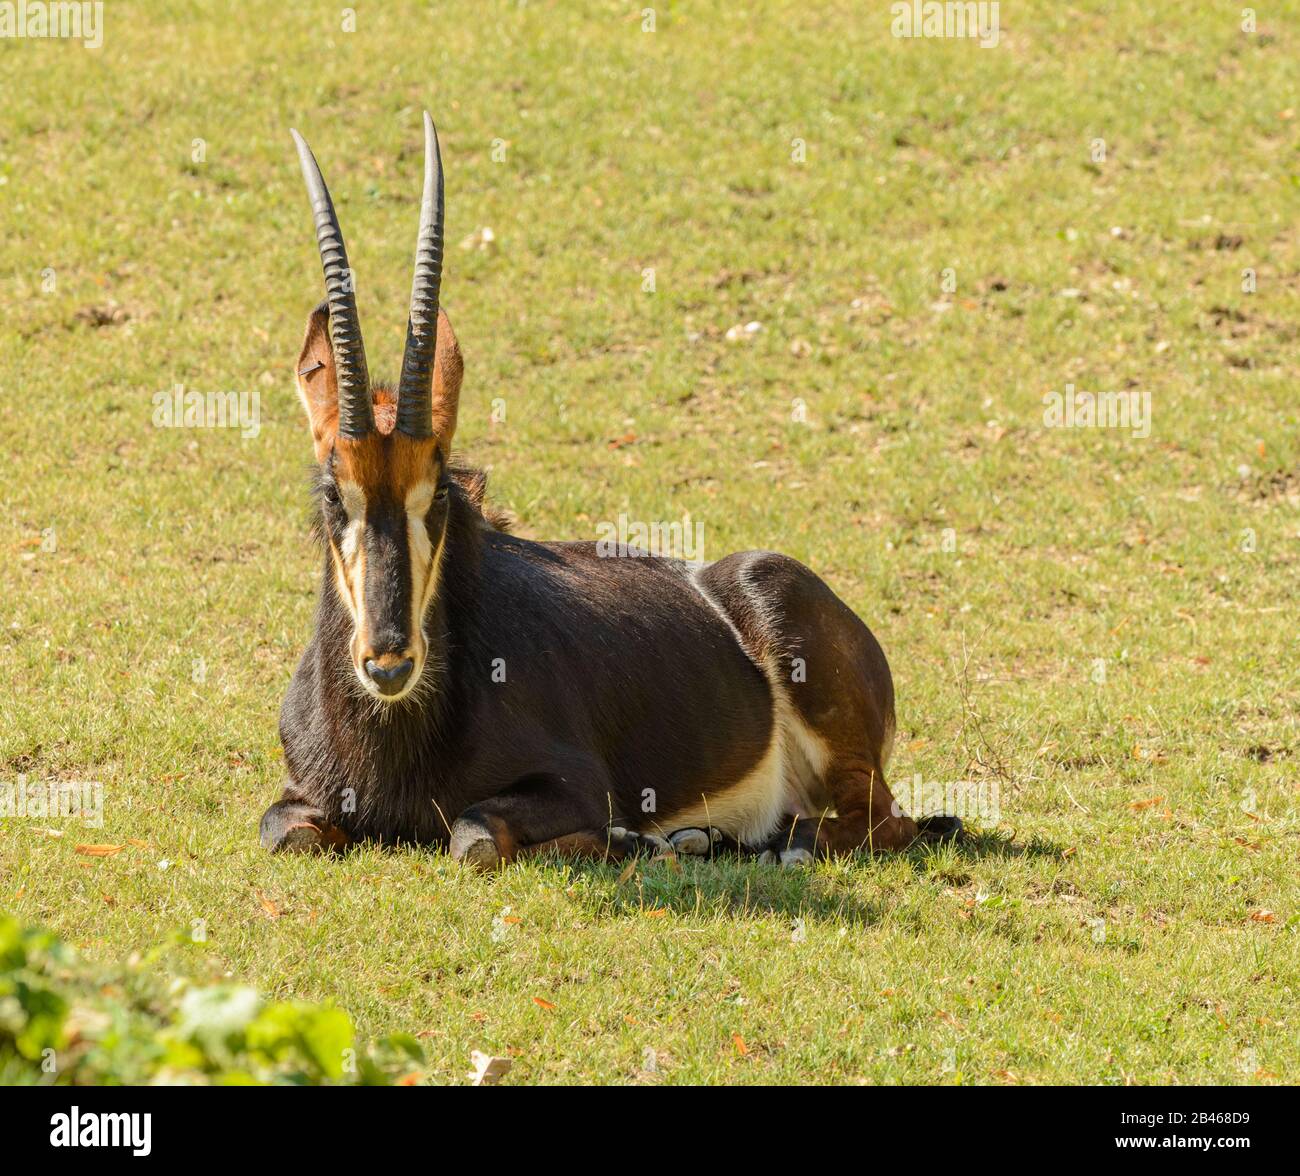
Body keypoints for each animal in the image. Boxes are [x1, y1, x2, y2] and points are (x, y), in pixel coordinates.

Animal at [259, 112, 962, 867]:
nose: (389, 661)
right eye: (334, 493)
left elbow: (474, 836)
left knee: (885, 824)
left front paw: (625, 836)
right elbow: (284, 831)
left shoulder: (573, 785)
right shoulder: (299, 796)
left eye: (439, 492)